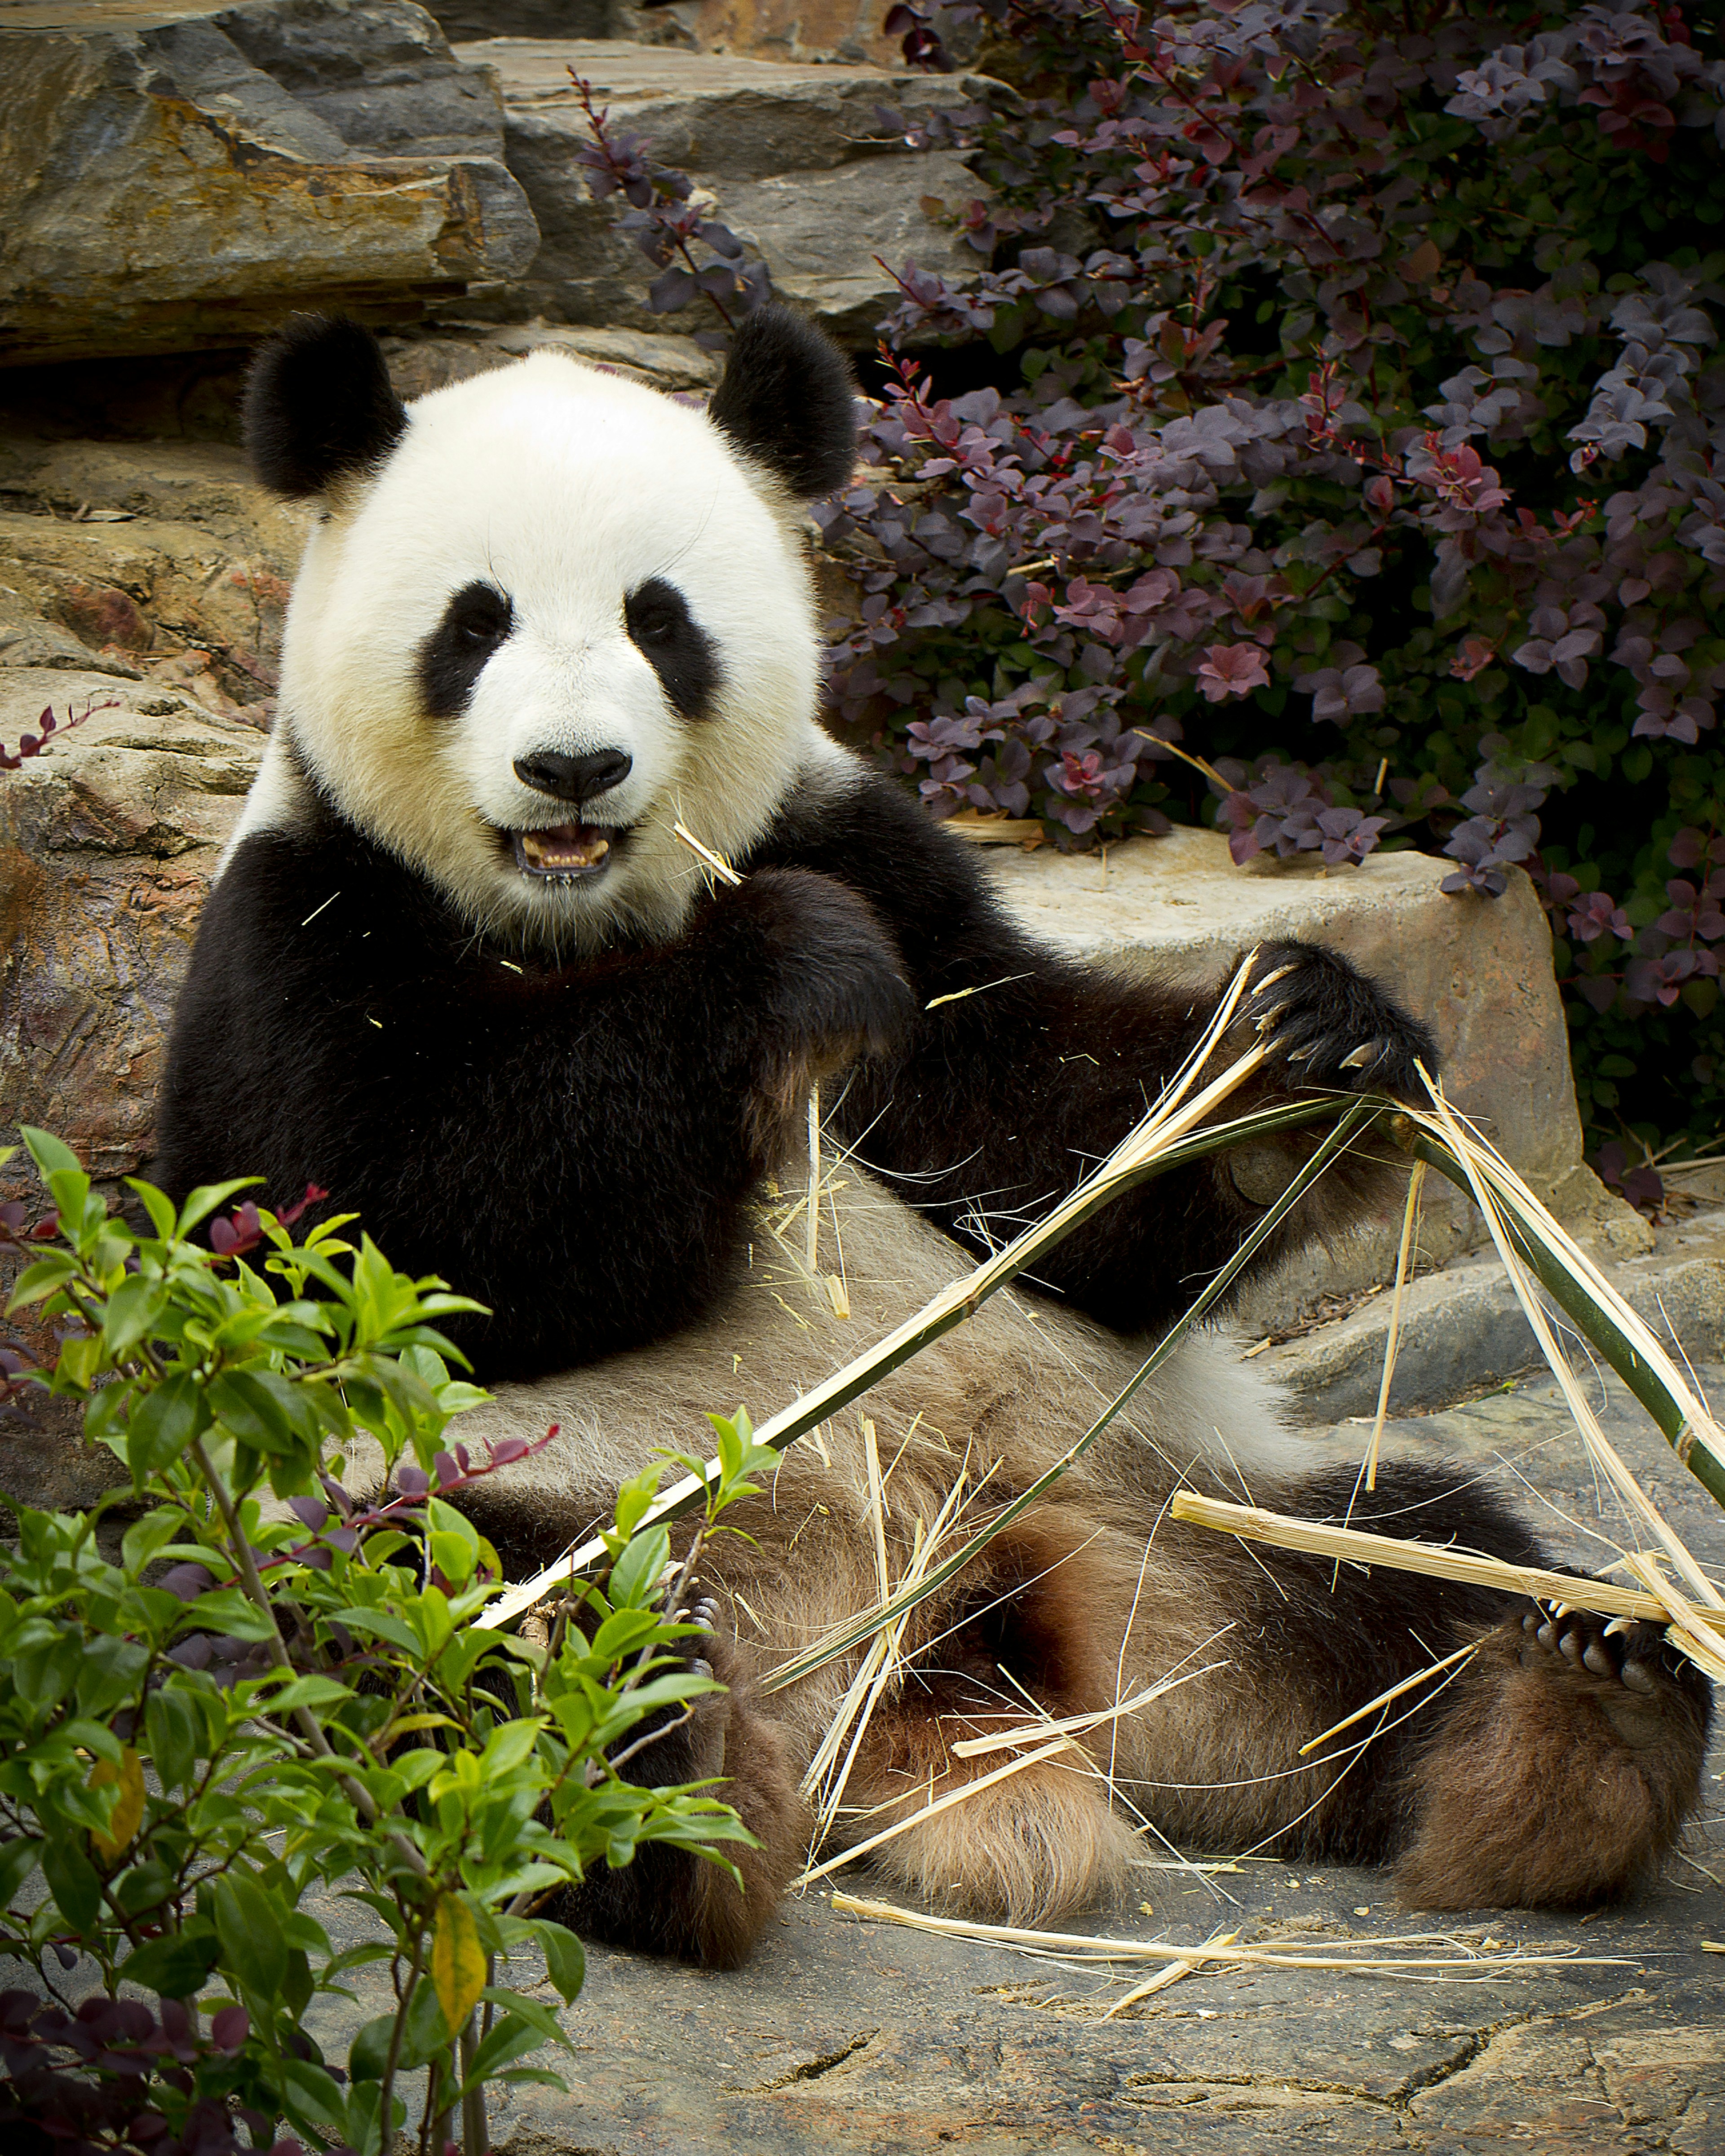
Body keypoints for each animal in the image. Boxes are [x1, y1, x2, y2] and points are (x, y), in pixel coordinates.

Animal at [154, 307, 1712, 1969]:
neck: (588, 920)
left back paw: (1579, 1723)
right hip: (512, 1509)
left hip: (1172, 1508)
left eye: (662, 623)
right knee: (439, 1620)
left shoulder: (859, 840)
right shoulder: (301, 925)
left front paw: (1306, 1046)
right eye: (473, 624)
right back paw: (658, 1777)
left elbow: (1035, 1150)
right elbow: (392, 1235)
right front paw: (785, 971)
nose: (572, 770)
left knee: (1417, 1569)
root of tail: (915, 1666)